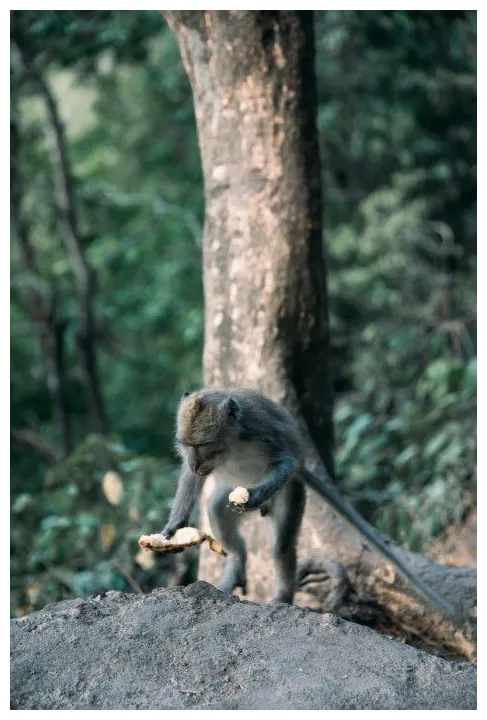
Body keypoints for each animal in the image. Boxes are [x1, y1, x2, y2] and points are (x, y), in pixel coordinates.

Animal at [161, 388, 456, 620]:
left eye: (204, 444)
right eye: (186, 445)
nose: (196, 462)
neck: (232, 442)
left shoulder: (260, 433)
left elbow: (285, 461)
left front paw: (256, 496)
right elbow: (190, 478)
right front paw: (175, 525)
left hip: (291, 489)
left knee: (281, 545)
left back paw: (282, 597)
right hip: (230, 490)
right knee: (217, 510)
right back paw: (237, 560)